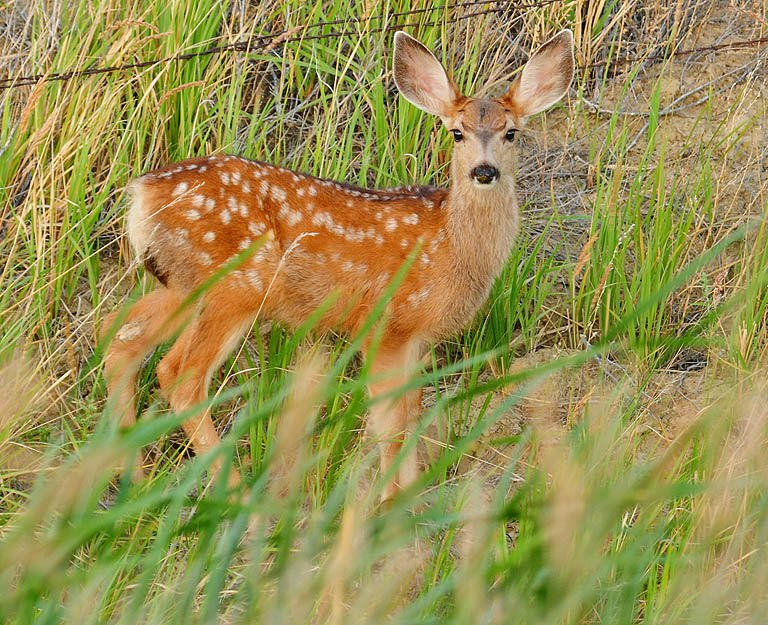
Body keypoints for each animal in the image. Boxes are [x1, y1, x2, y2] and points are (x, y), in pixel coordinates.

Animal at [102, 29, 574, 500]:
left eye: (511, 133)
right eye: (457, 133)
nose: (484, 171)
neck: (449, 245)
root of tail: (143, 193)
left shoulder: (417, 339)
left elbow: (411, 411)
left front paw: (410, 494)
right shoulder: (386, 323)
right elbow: (390, 422)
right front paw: (388, 501)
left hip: (178, 283)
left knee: (121, 340)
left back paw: (132, 477)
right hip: (234, 286)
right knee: (179, 374)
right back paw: (234, 491)